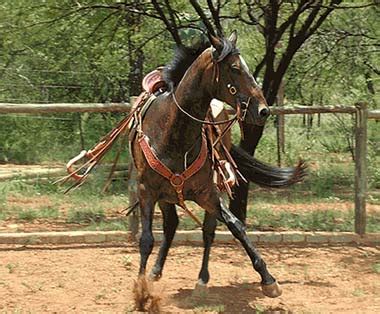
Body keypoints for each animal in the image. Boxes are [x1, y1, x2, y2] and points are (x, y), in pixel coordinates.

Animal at [129, 30, 284, 302]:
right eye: (235, 68)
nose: (263, 110)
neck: (173, 134)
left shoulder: (207, 193)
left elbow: (236, 227)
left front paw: (268, 279)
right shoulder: (147, 190)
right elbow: (146, 239)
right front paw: (141, 291)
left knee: (205, 230)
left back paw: (201, 281)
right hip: (165, 196)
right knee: (170, 225)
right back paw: (155, 272)